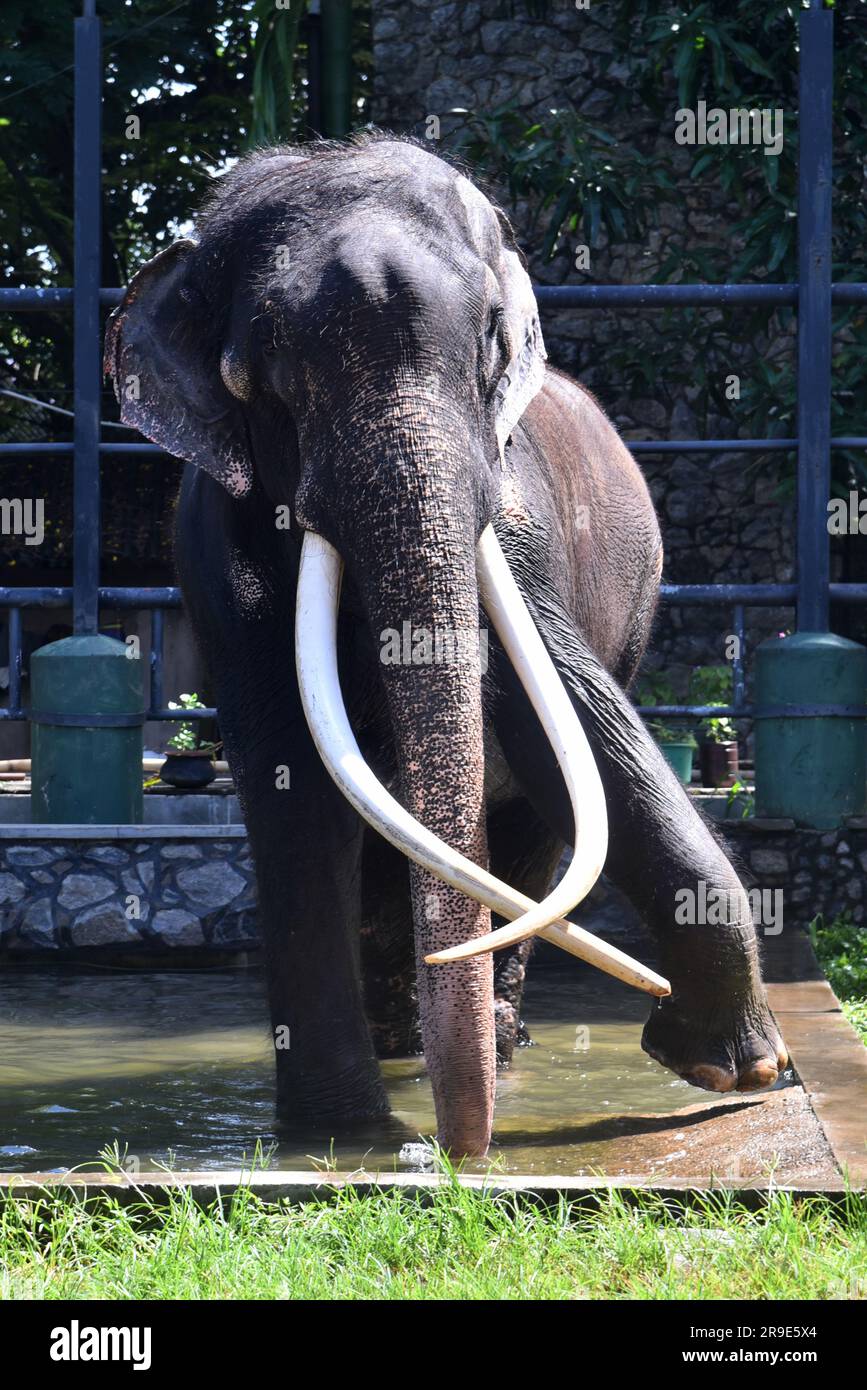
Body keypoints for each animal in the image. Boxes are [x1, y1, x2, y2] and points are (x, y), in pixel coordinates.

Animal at [105, 134, 787, 1158]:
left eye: (489, 345)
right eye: (268, 372)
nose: (459, 1158)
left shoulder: (517, 521)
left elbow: (568, 724)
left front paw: (734, 1072)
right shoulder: (216, 551)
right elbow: (291, 774)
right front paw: (343, 1138)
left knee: (539, 829)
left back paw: (500, 1043)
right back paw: (410, 1047)